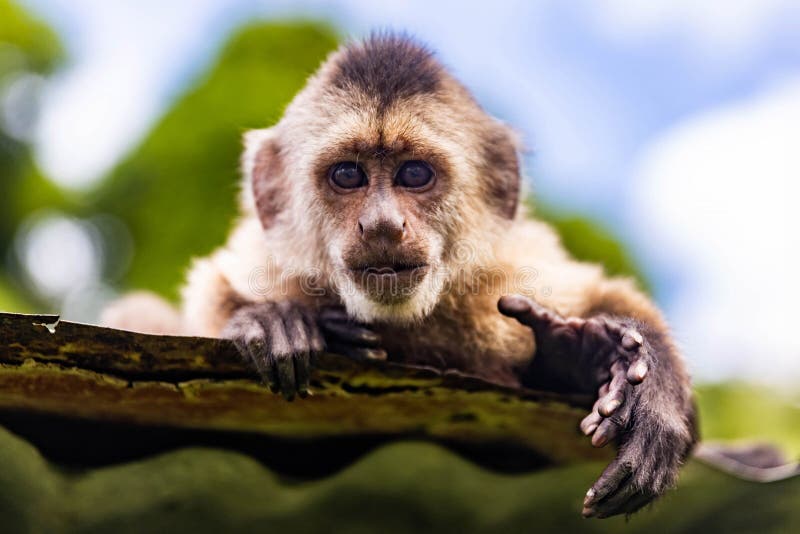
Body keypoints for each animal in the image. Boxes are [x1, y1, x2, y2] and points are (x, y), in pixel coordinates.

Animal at [102, 33, 696, 519]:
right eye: (348, 175)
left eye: (414, 174)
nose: (383, 224)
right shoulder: (269, 258)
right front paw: (270, 321)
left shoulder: (504, 272)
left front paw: (615, 367)